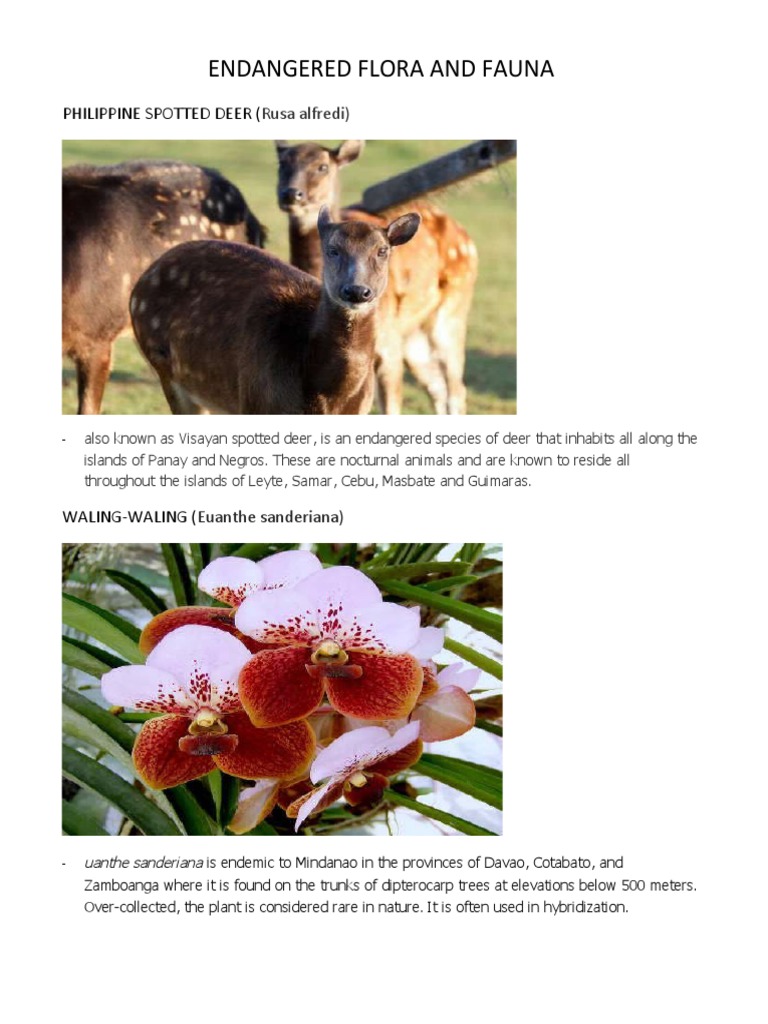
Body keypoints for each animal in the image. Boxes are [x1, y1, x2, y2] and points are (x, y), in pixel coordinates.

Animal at [130, 205, 421, 415]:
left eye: (382, 250)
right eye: (332, 250)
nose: (357, 291)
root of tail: (139, 285)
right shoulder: (257, 400)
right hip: (165, 368)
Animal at [275, 140, 479, 415]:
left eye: (322, 166)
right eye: (282, 163)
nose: (290, 194)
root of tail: (467, 238)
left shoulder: (388, 344)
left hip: (452, 312)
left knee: (456, 388)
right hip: (413, 336)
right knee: (436, 386)